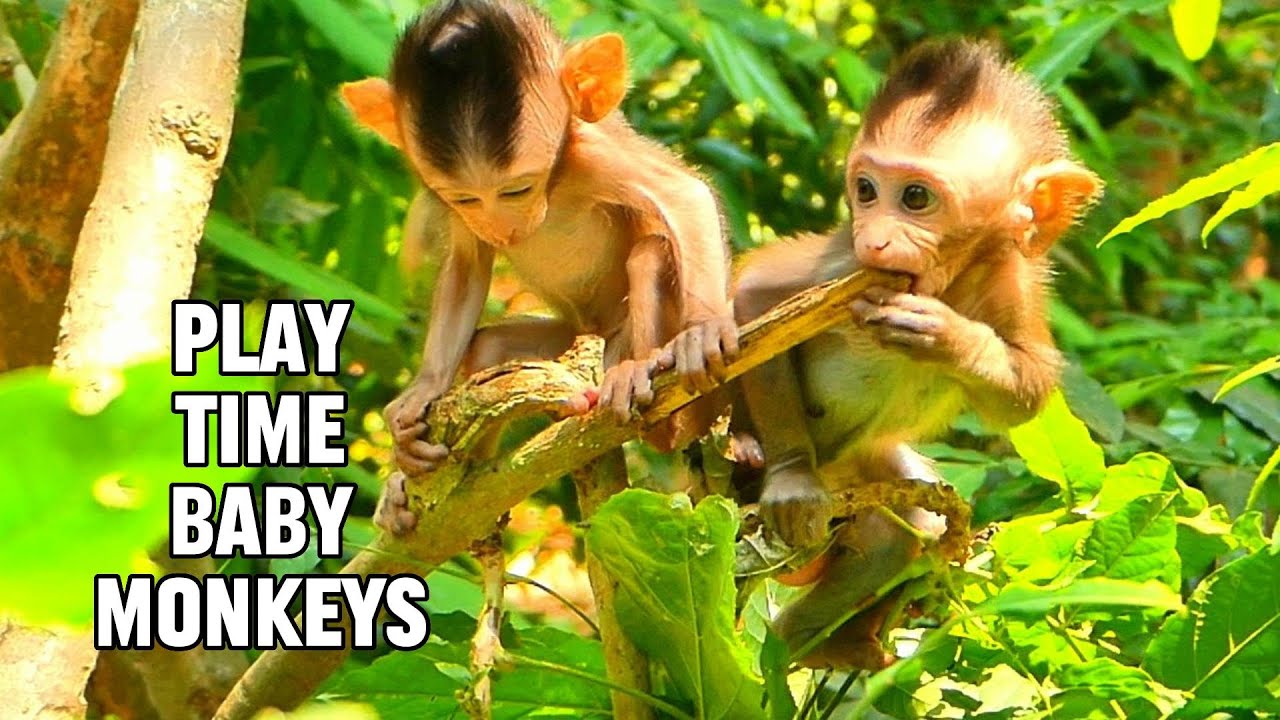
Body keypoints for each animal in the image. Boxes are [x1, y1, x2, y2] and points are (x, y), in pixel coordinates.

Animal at [341, 0, 737, 519]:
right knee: (489, 351)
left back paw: (643, 388)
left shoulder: (594, 154)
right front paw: (425, 388)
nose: (501, 228)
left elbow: (684, 195)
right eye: (466, 200)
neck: (554, 184)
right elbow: (467, 265)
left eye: (517, 189)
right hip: (567, 348)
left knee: (649, 254)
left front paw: (704, 328)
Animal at [731, 39, 1103, 667]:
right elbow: (756, 305)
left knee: (904, 528)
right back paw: (749, 450)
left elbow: (1027, 392)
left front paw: (946, 336)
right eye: (865, 191)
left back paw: (821, 643)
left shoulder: (1013, 281)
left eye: (915, 197)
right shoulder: (843, 268)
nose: (875, 239)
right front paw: (790, 479)